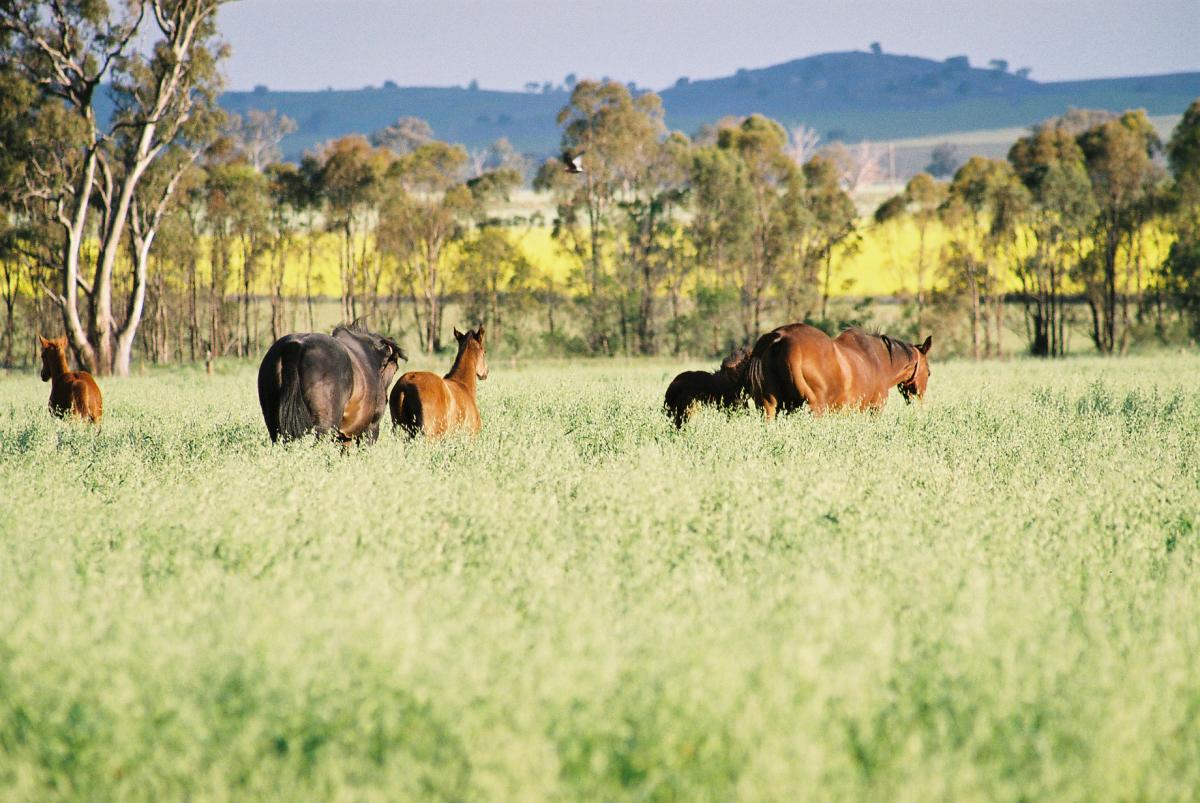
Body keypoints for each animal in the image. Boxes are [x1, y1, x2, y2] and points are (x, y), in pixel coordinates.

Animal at [257, 321, 407, 444]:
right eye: (395, 369)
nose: (386, 398)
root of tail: (294, 346)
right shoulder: (371, 428)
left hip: (274, 425)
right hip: (324, 428)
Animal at [747, 323, 932, 419]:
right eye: (929, 373)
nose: (919, 402)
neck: (880, 360)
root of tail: (781, 336)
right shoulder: (874, 408)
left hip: (769, 408)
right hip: (814, 409)